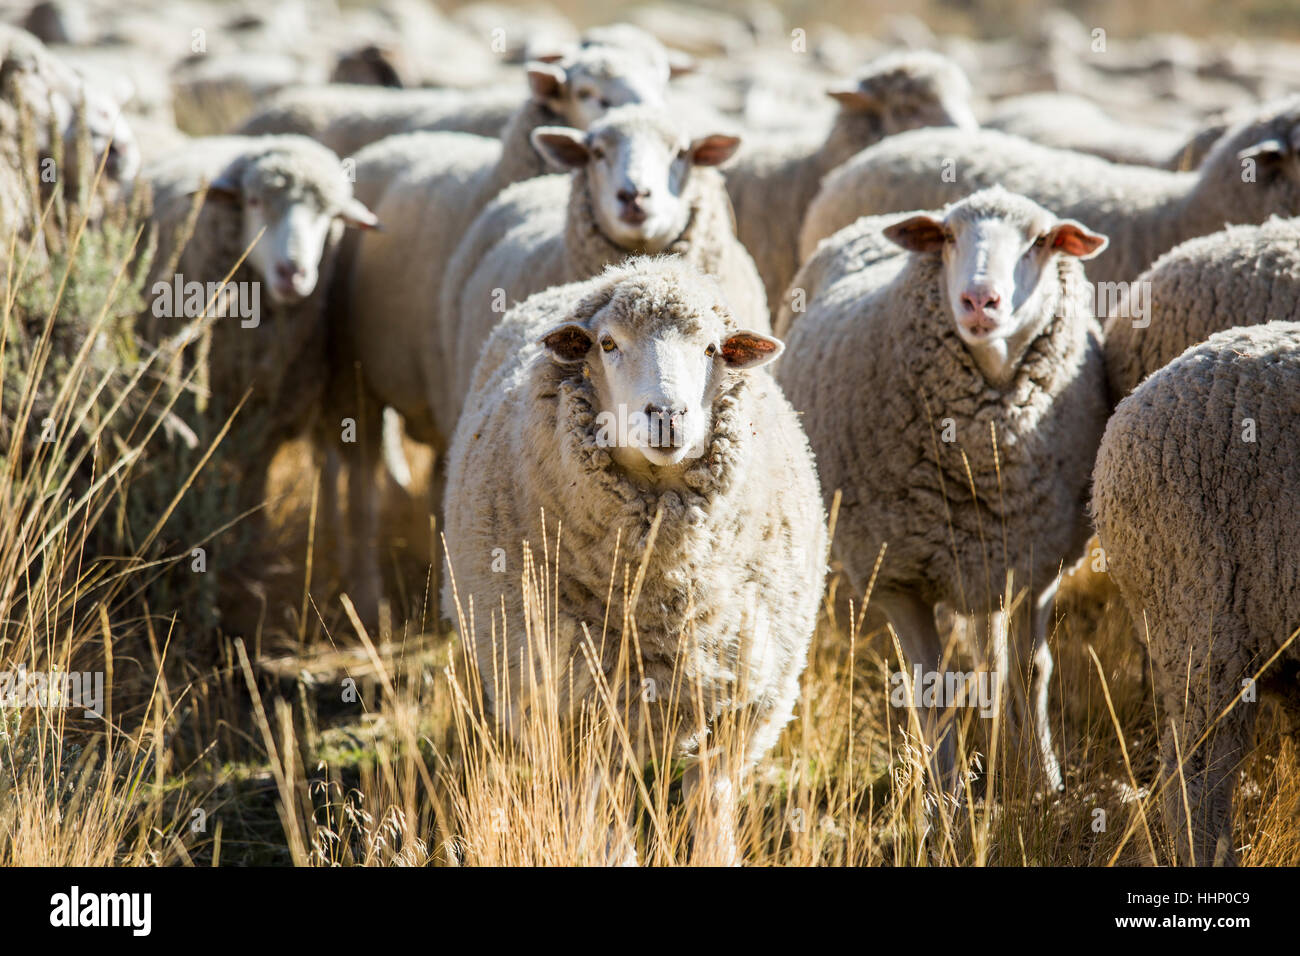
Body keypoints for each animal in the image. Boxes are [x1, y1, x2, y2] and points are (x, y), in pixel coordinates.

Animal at [140, 135, 378, 543]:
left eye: (329, 214)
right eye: (253, 201)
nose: (293, 273)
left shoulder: (274, 412)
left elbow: (255, 478)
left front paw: (252, 533)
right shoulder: (196, 405)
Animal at [442, 256, 826, 864]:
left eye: (712, 348)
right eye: (607, 343)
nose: (667, 414)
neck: (665, 593)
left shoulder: (741, 706)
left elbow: (710, 803)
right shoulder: (580, 713)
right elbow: (605, 816)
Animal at [776, 188, 1111, 791]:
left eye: (1041, 241)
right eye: (950, 237)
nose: (980, 300)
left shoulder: (1037, 564)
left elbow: (1031, 669)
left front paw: (1044, 782)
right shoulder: (896, 577)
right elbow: (932, 687)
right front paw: (945, 796)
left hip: (989, 557)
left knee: (991, 651)